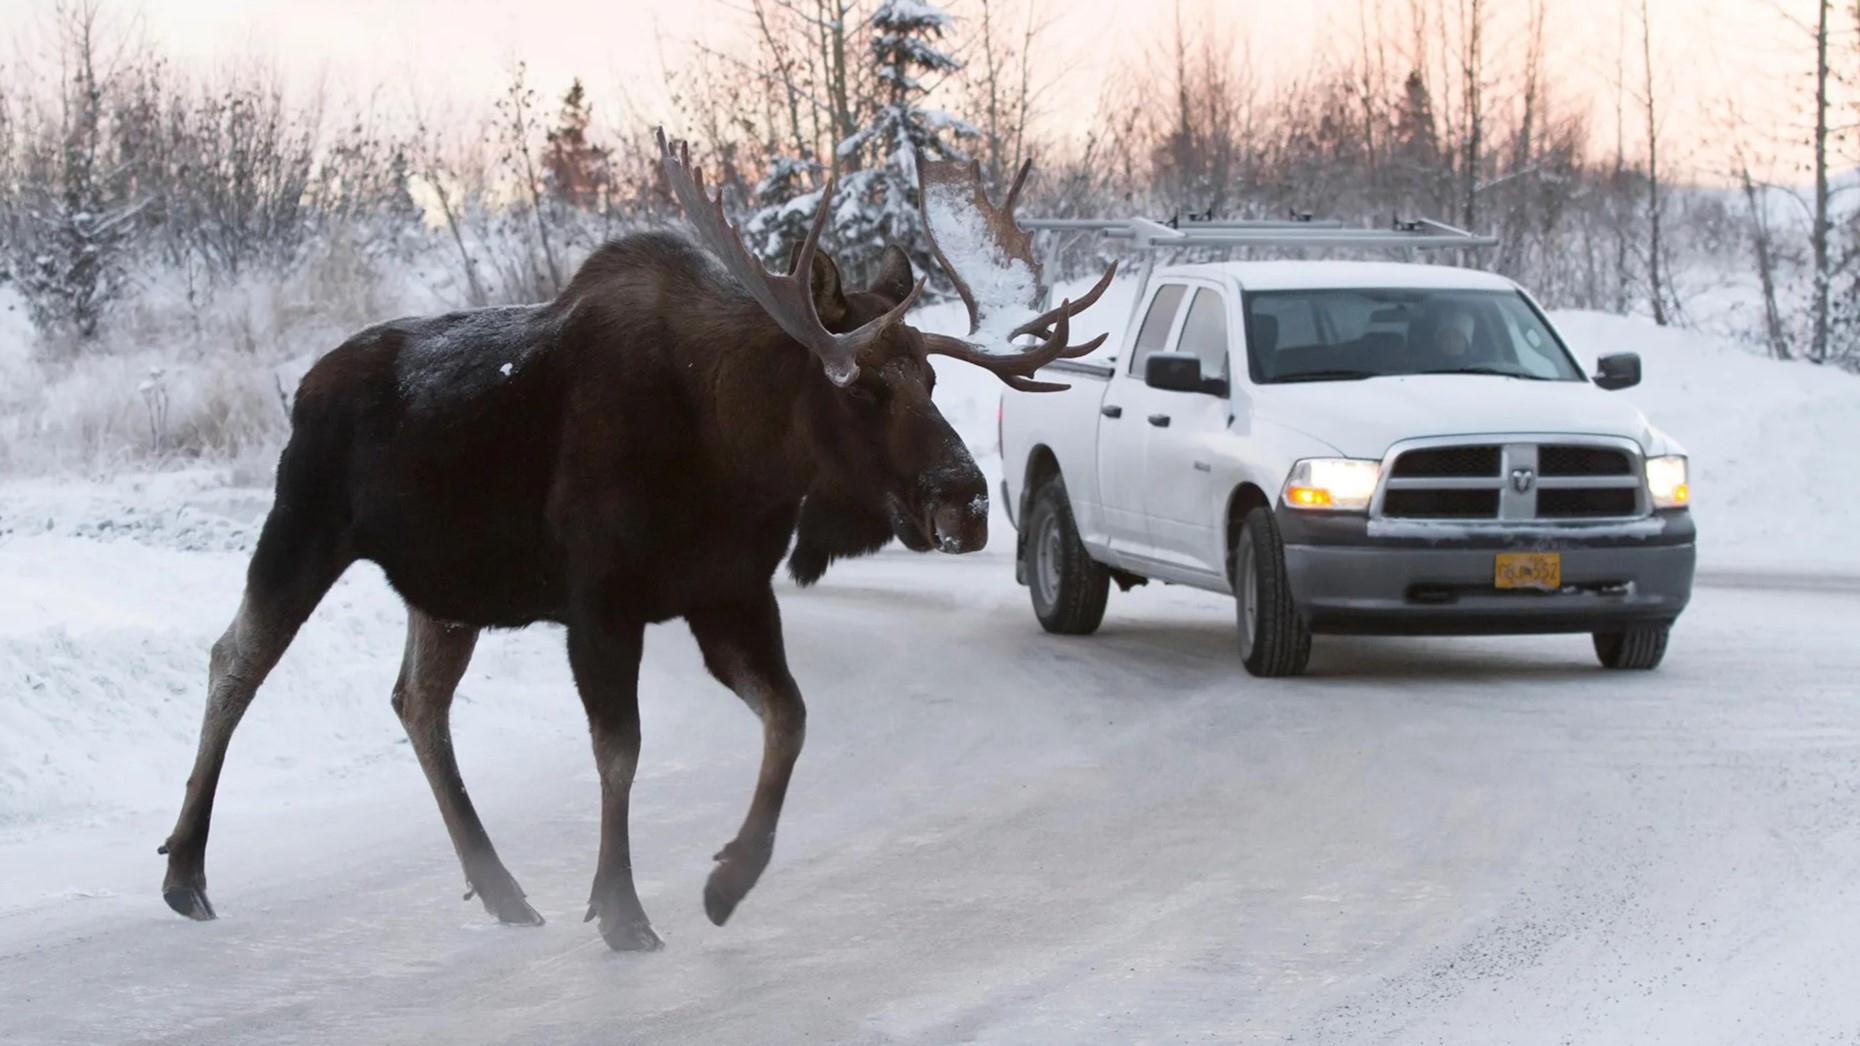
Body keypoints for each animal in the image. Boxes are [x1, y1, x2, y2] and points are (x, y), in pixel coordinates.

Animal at [155, 129, 1116, 951]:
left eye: (930, 381)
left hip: (446, 589)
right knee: (236, 658)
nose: (965, 500)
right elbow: (621, 750)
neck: (736, 464)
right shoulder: (601, 601)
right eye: (862, 388)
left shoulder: (729, 595)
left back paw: (501, 888)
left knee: (417, 702)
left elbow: (790, 719)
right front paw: (622, 909)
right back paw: (186, 872)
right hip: (302, 526)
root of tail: (304, 386)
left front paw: (727, 881)